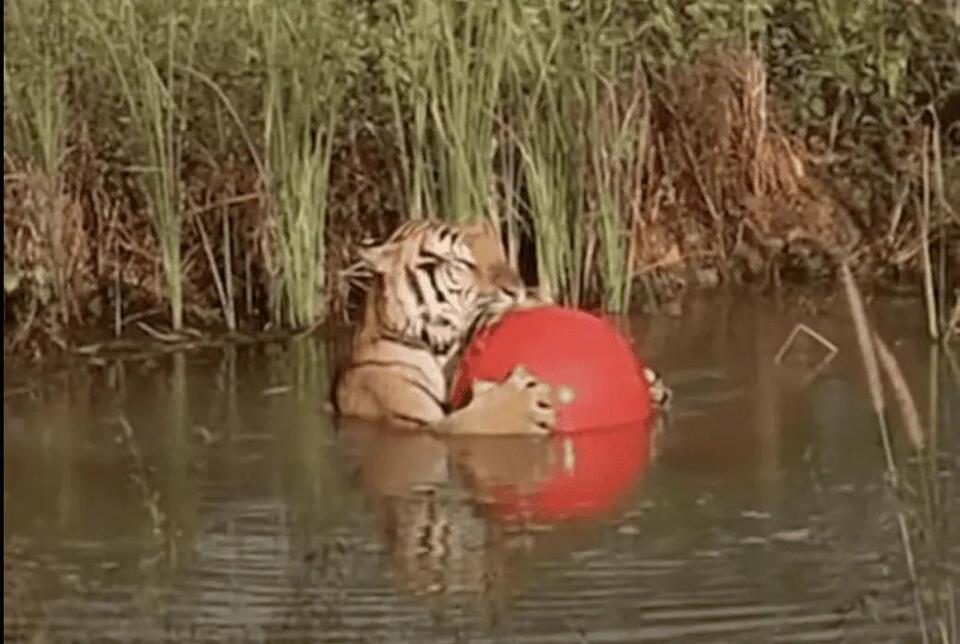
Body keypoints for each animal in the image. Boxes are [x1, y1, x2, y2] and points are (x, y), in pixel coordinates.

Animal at [332, 217, 572, 436]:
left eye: (500, 254)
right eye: (465, 264)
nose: (517, 290)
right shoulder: (418, 423)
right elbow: (467, 422)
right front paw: (524, 405)